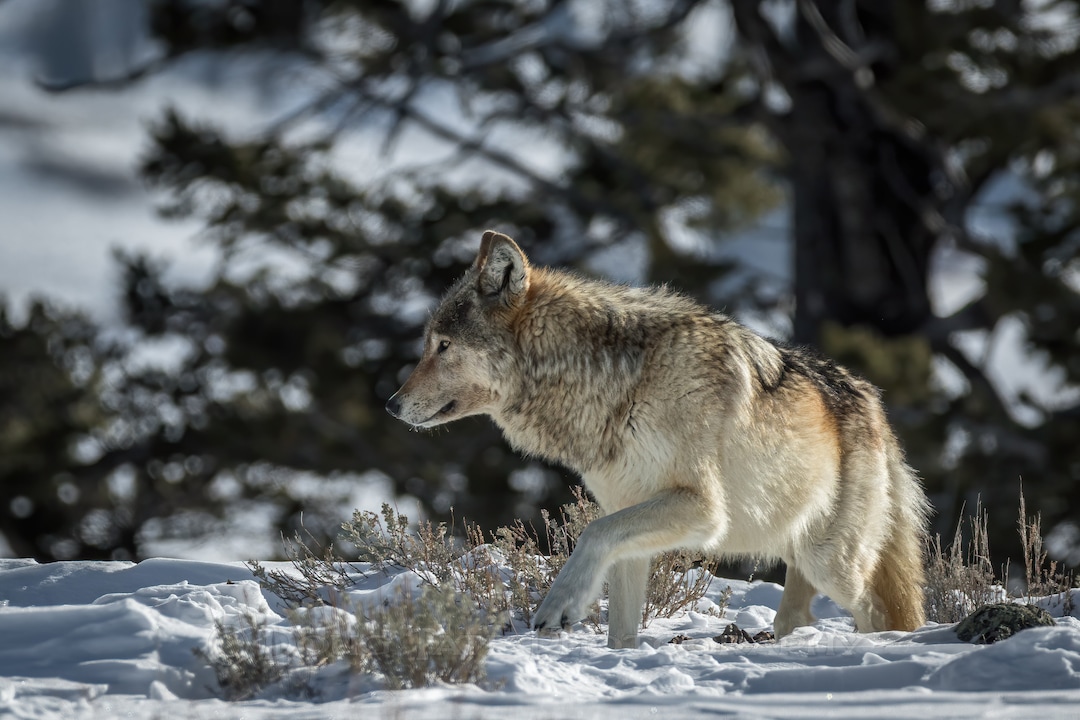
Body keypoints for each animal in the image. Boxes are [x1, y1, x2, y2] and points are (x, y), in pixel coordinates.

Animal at [386, 230, 930, 649]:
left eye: (442, 346)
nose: (392, 404)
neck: (617, 384)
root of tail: (875, 404)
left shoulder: (701, 509)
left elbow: (590, 534)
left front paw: (560, 605)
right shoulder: (627, 520)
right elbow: (620, 625)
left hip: (829, 563)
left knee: (882, 612)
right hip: (801, 558)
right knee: (794, 617)